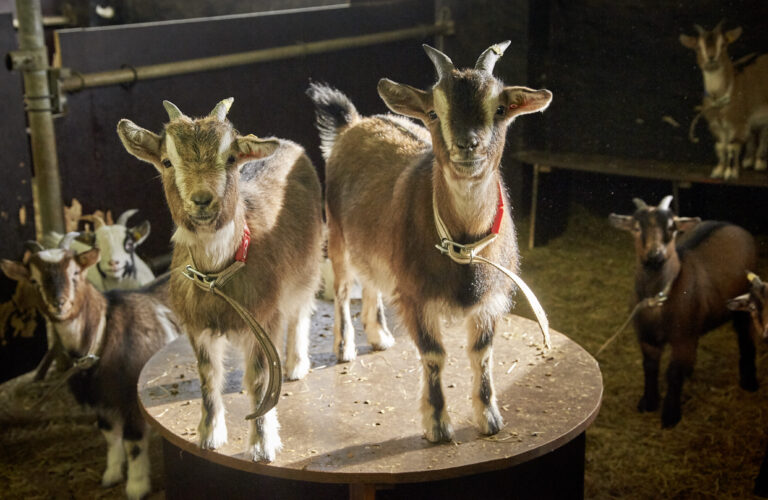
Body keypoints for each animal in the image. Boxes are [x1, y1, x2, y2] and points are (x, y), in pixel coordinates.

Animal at [0, 234, 181, 500]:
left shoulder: (132, 399)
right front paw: (111, 474)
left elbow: (133, 442)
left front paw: (136, 487)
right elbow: (109, 434)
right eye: (34, 280)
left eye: (75, 272)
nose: (59, 304)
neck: (102, 334)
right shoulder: (100, 398)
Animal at [116, 98, 323, 461]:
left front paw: (262, 445)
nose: (202, 200)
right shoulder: (197, 327)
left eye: (230, 158)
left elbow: (260, 380)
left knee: (300, 312)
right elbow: (208, 377)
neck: (217, 274)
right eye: (167, 161)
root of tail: (289, 145)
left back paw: (296, 365)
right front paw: (210, 435)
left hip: (306, 267)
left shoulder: (263, 318)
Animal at [307, 42, 552, 442]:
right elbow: (434, 355)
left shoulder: (492, 299)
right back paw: (344, 347)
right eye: (434, 113)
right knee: (343, 290)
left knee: (372, 281)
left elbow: (482, 353)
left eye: (499, 109)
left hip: (374, 242)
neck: (464, 245)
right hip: (338, 234)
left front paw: (489, 418)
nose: (467, 146)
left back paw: (379, 335)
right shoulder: (416, 295)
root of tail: (354, 123)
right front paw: (437, 424)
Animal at [610, 196, 757, 427]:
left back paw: (749, 382)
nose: (655, 255)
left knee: (745, 337)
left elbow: (673, 373)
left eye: (672, 227)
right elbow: (649, 366)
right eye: (636, 227)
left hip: (743, 304)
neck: (658, 299)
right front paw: (648, 402)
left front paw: (670, 415)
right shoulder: (647, 336)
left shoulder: (682, 339)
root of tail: (731, 224)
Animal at [680, 22, 768, 179]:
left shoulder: (738, 122)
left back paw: (759, 162)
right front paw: (718, 170)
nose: (711, 58)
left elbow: (732, 146)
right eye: (698, 47)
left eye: (723, 44)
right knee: (754, 131)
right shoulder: (716, 125)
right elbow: (721, 146)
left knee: (764, 132)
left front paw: (731, 173)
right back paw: (748, 160)